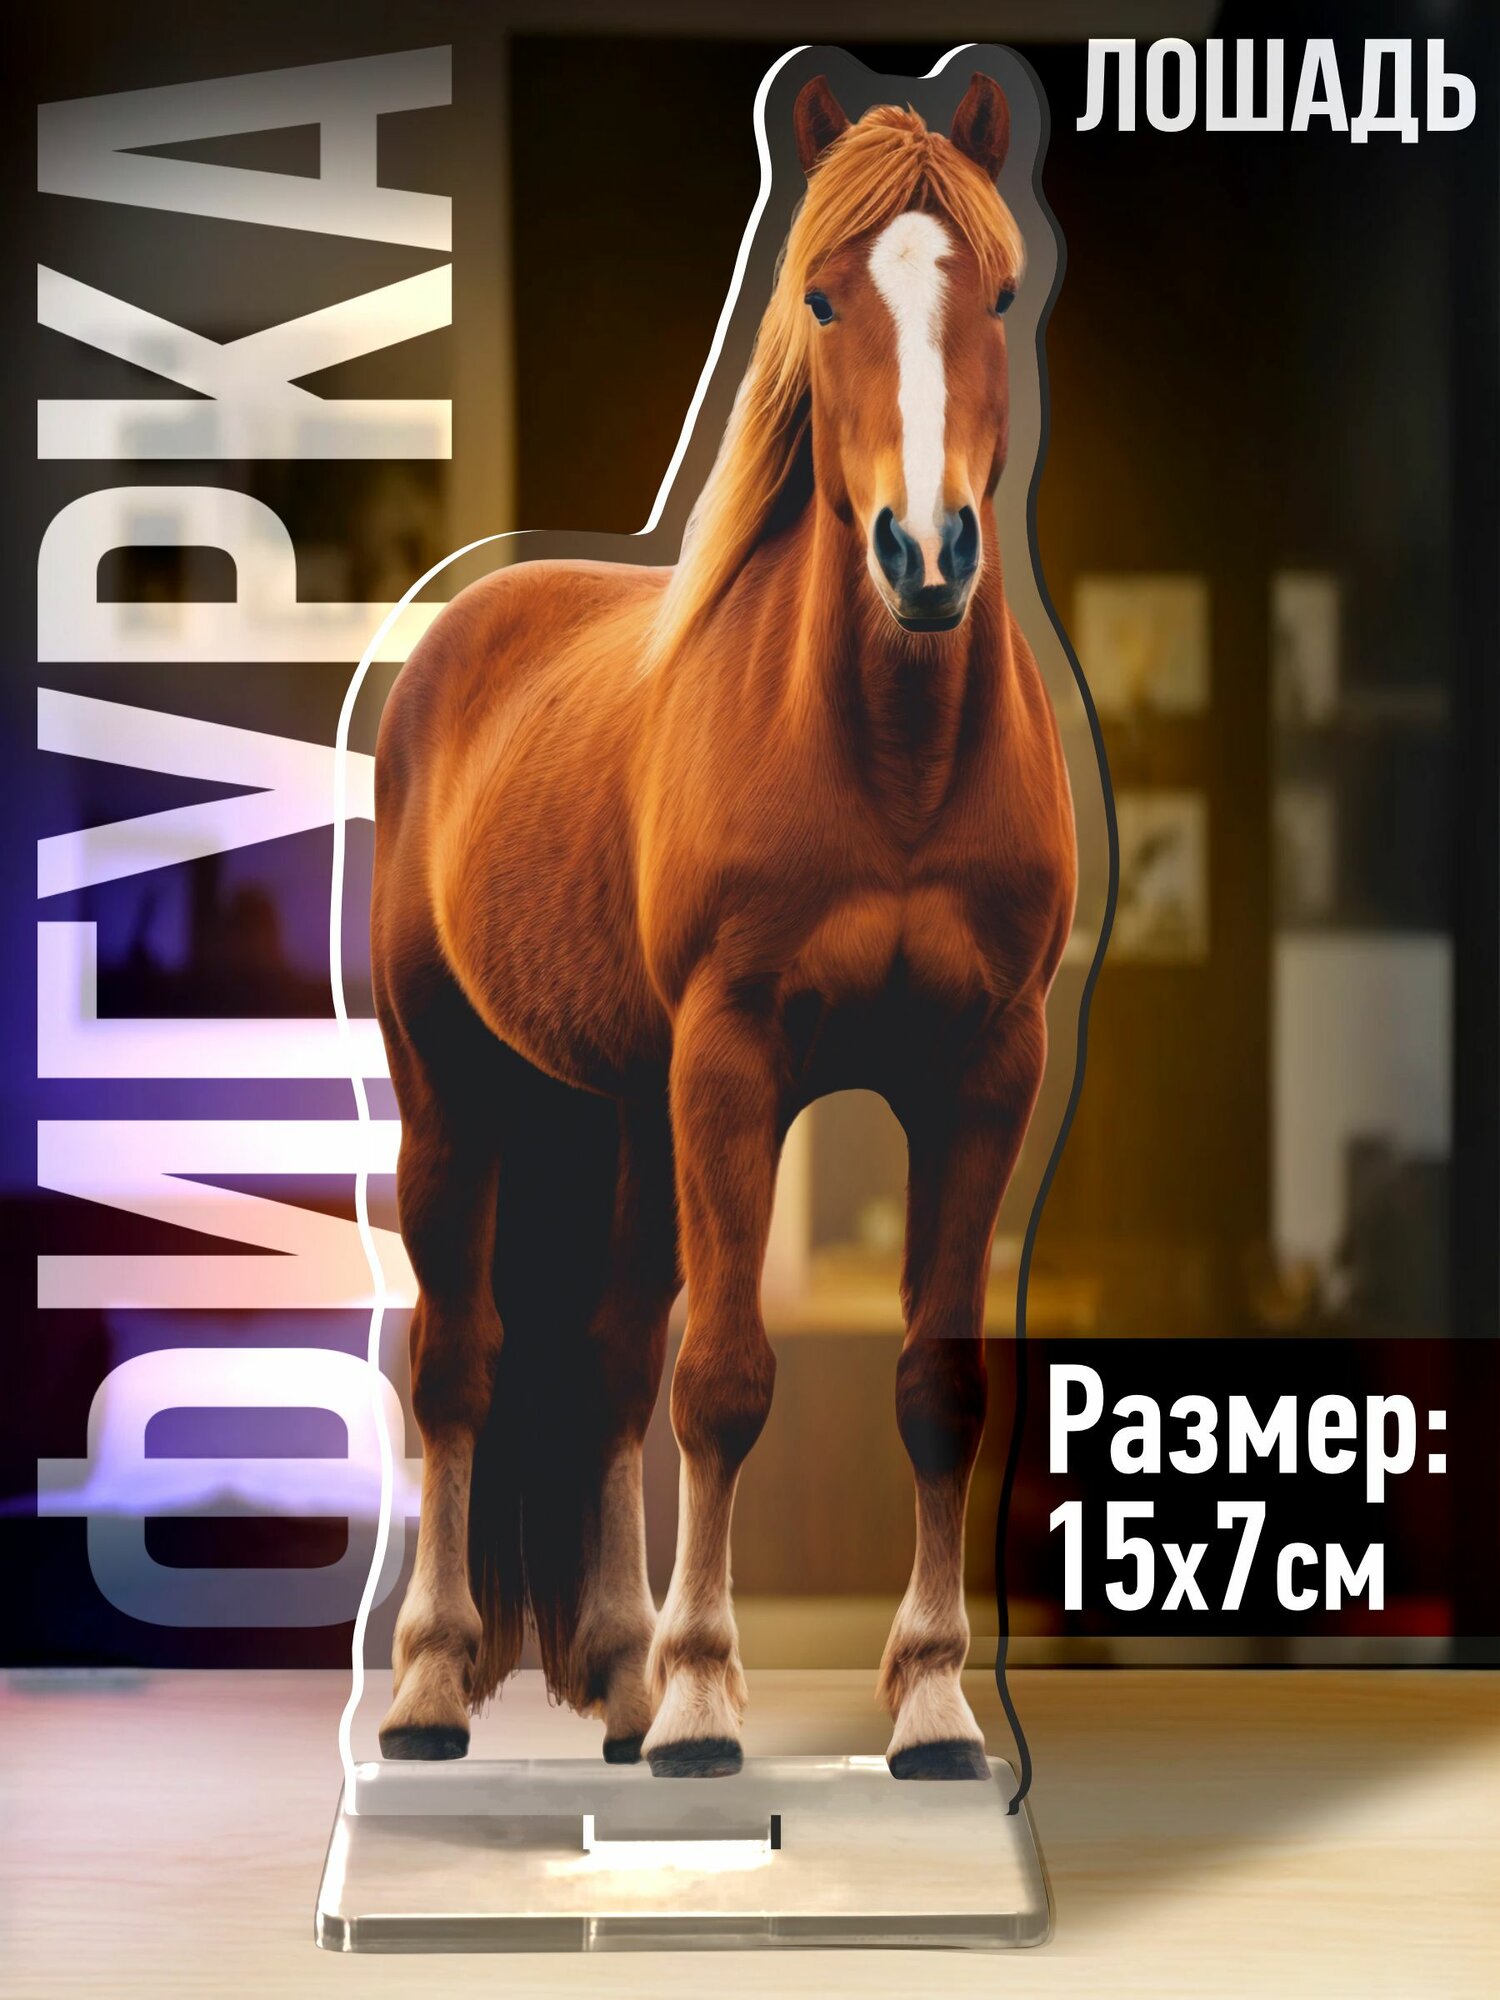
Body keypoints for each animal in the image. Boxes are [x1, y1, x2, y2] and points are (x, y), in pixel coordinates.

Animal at [372, 71, 1077, 1781]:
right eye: (819, 295)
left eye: (1001, 293)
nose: (927, 556)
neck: (888, 763)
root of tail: (459, 633)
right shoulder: (735, 1061)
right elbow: (730, 1379)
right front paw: (707, 1698)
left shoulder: (986, 1071)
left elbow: (934, 1381)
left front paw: (934, 1707)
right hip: (454, 1086)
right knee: (458, 1358)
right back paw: (437, 1684)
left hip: (630, 1105)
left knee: (610, 1360)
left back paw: (619, 1681)